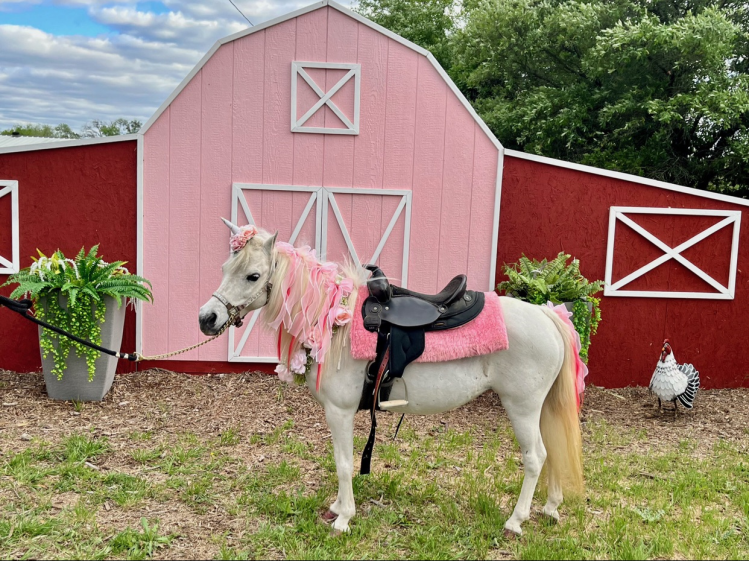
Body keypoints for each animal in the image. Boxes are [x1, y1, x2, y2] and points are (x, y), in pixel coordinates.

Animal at [198, 220, 584, 536]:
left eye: (253, 275)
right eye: (224, 268)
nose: (207, 318)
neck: (333, 318)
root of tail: (548, 316)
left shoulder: (339, 412)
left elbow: (344, 463)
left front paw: (343, 518)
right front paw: (337, 508)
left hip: (522, 407)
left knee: (535, 457)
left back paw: (515, 522)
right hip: (539, 407)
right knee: (553, 451)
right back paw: (550, 508)